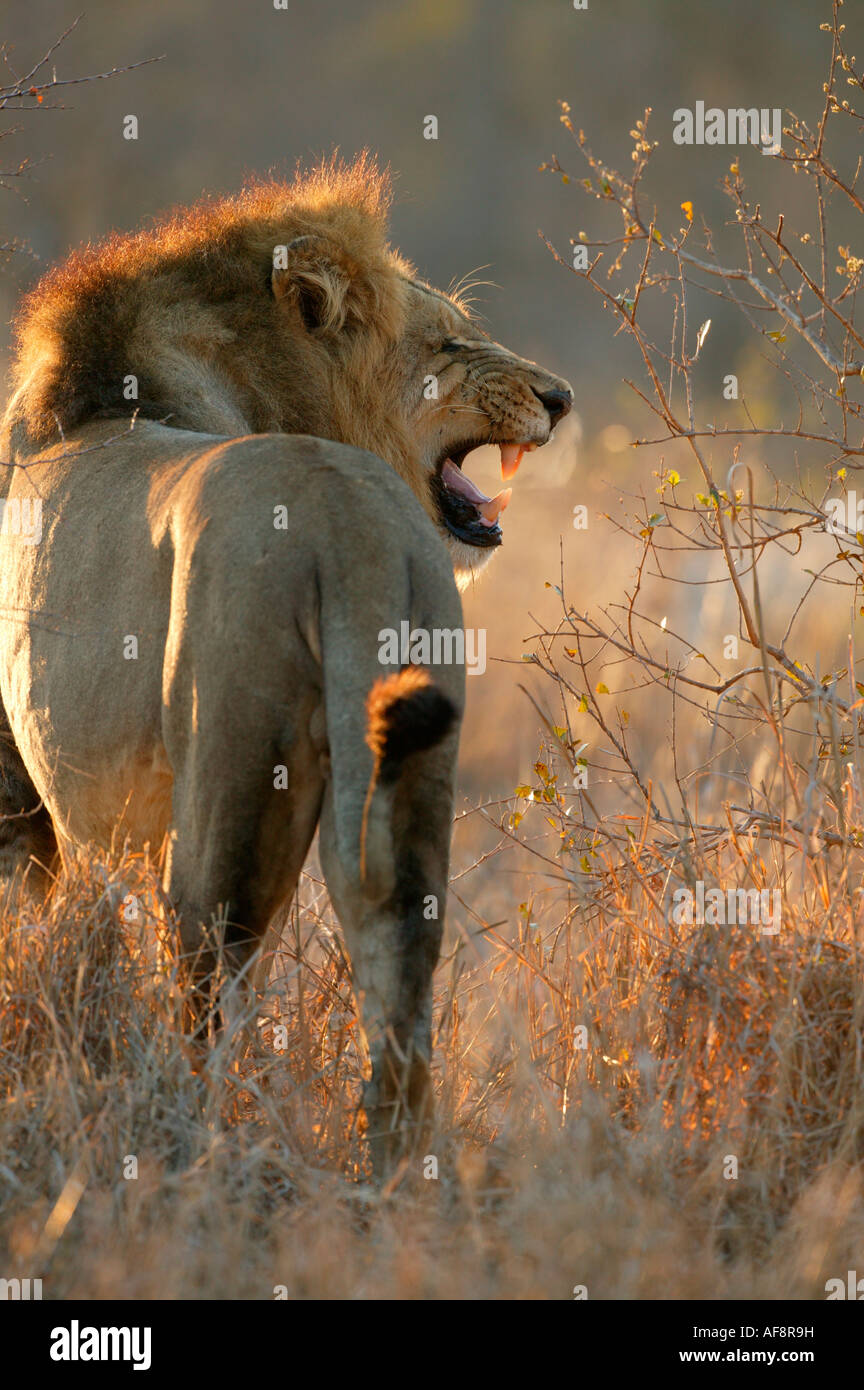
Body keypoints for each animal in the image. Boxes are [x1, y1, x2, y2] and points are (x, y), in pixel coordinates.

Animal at [0, 156, 571, 1165]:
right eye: (451, 341)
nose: (560, 399)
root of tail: (351, 520)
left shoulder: (25, 794)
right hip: (403, 782)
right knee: (399, 997)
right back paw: (387, 1172)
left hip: (224, 780)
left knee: (208, 989)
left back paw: (188, 1144)